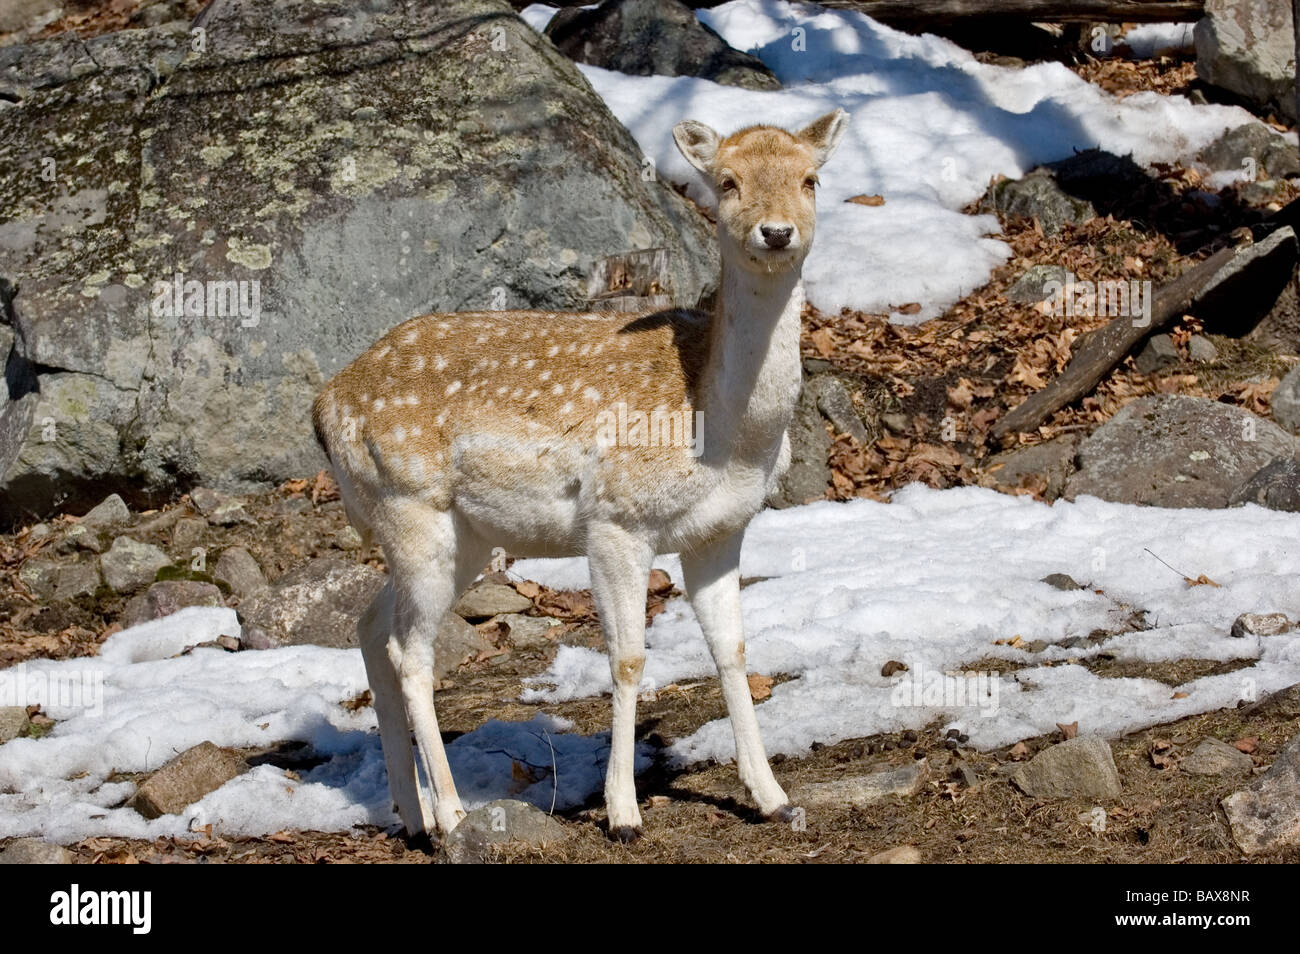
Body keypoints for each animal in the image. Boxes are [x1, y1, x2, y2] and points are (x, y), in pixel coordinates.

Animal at [312, 109, 849, 843]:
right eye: (727, 182)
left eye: (810, 179)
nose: (775, 232)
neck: (724, 435)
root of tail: (321, 408)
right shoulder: (616, 520)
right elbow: (627, 658)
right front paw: (623, 813)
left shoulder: (720, 531)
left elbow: (733, 648)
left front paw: (773, 796)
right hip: (410, 509)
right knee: (408, 653)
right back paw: (451, 813)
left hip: (459, 536)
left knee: (369, 628)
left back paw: (412, 813)